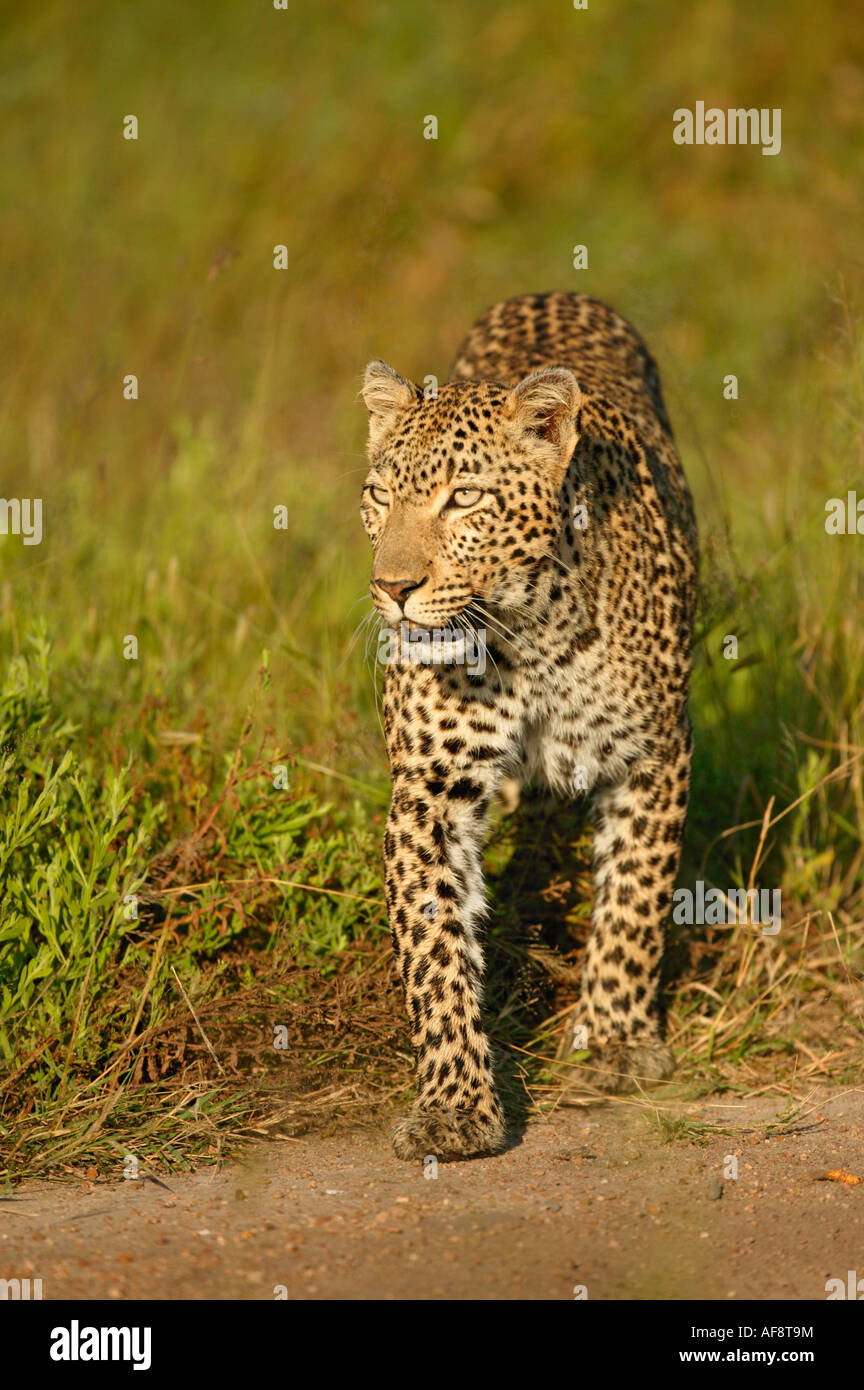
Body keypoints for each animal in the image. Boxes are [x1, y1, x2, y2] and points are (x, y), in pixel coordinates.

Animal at [359, 291, 698, 1162]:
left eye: (465, 498)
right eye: (379, 495)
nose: (393, 588)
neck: (527, 627)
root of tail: (555, 293)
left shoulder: (655, 754)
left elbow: (636, 901)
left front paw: (614, 1044)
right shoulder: (429, 790)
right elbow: (435, 950)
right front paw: (454, 1104)